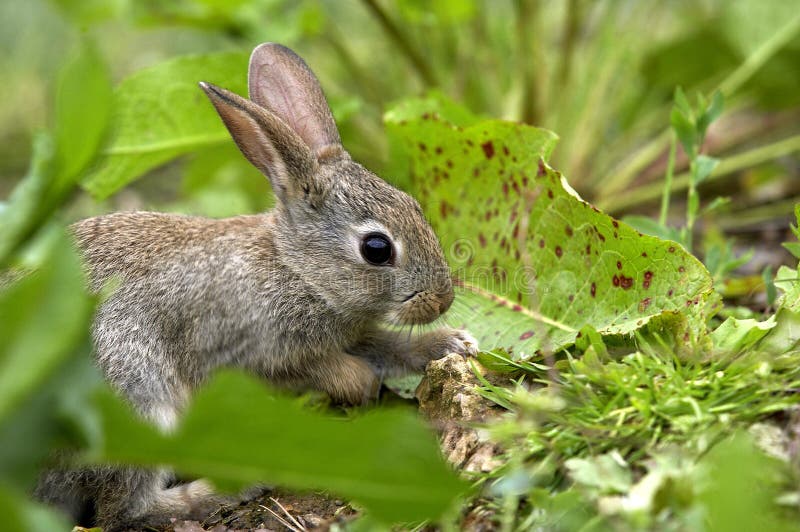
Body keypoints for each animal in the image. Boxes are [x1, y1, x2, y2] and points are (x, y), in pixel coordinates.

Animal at [35, 43, 477, 530]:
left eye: (414, 205)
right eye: (377, 248)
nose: (443, 301)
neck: (297, 270)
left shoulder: (349, 331)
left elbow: (389, 347)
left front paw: (452, 343)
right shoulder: (246, 351)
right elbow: (312, 368)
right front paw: (356, 383)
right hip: (136, 397)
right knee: (125, 509)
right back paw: (229, 486)